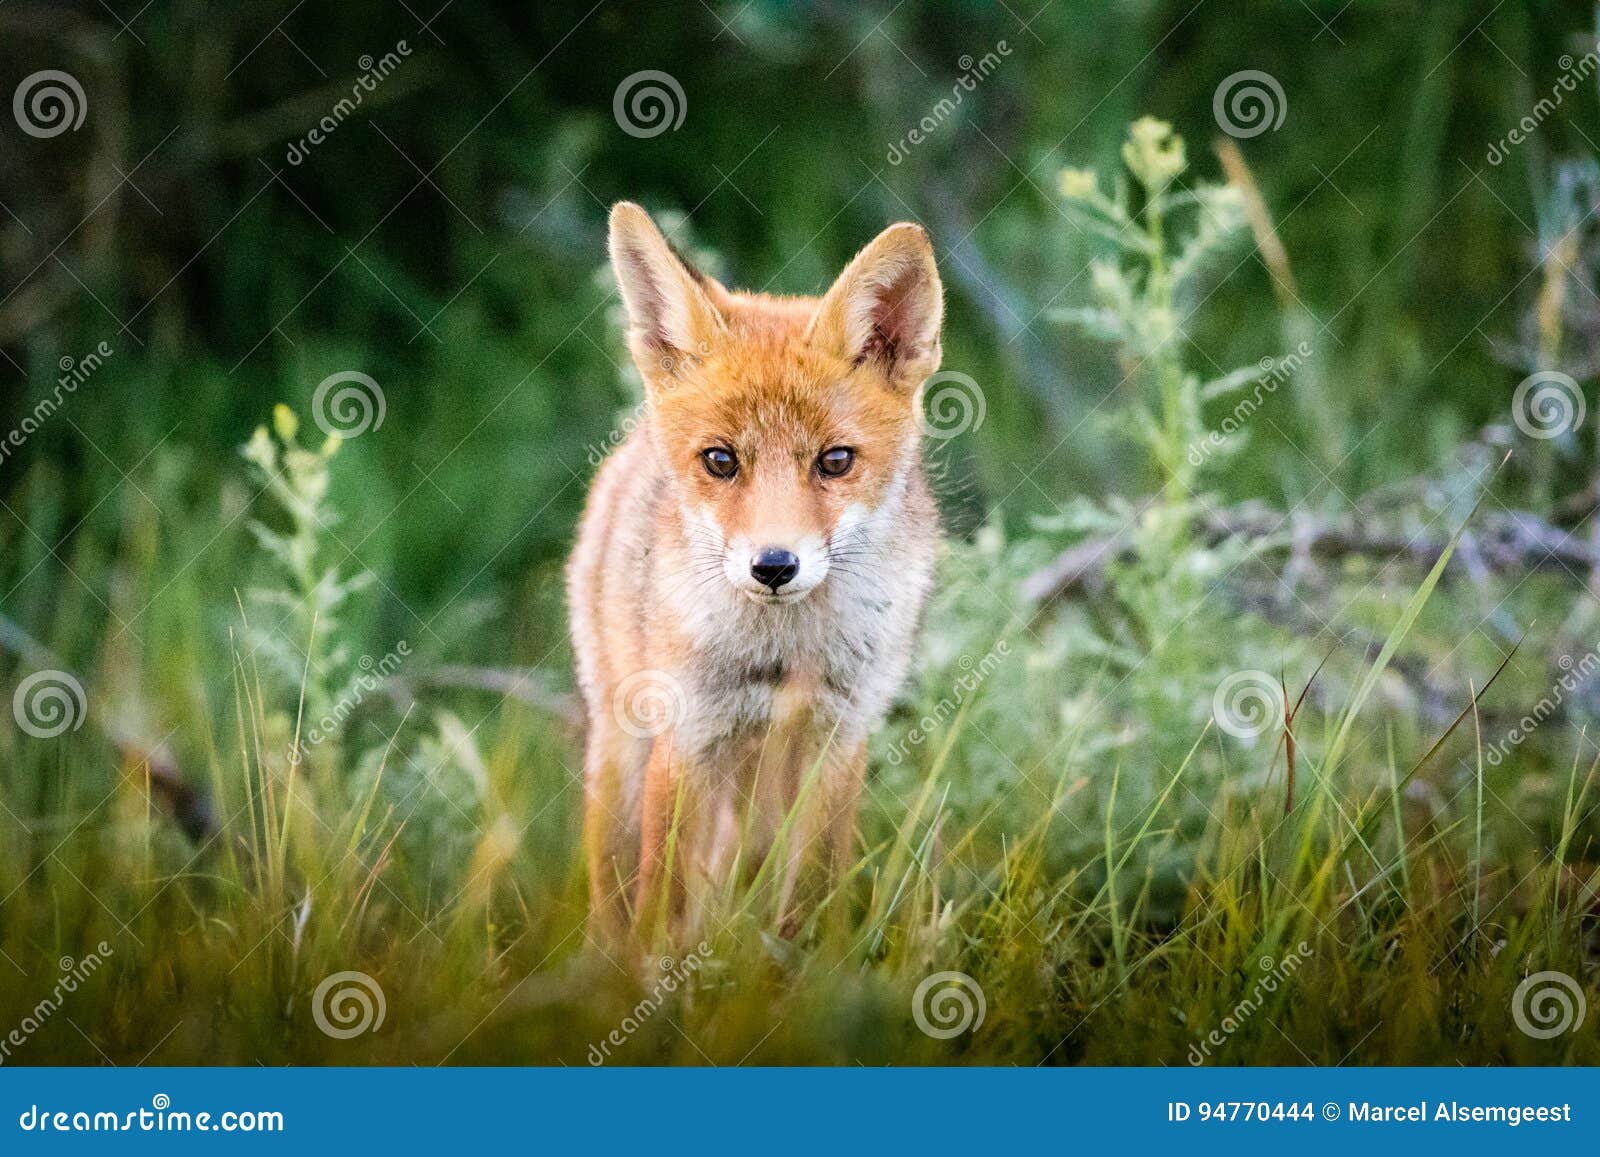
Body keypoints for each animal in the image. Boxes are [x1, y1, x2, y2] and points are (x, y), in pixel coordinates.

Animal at [568, 202, 943, 941]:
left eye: (835, 461)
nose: (773, 566)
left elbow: (812, 898)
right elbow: (660, 907)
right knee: (619, 892)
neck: (779, 656)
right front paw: (654, 971)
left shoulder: (838, 737)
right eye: (720, 460)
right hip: (623, 748)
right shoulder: (688, 738)